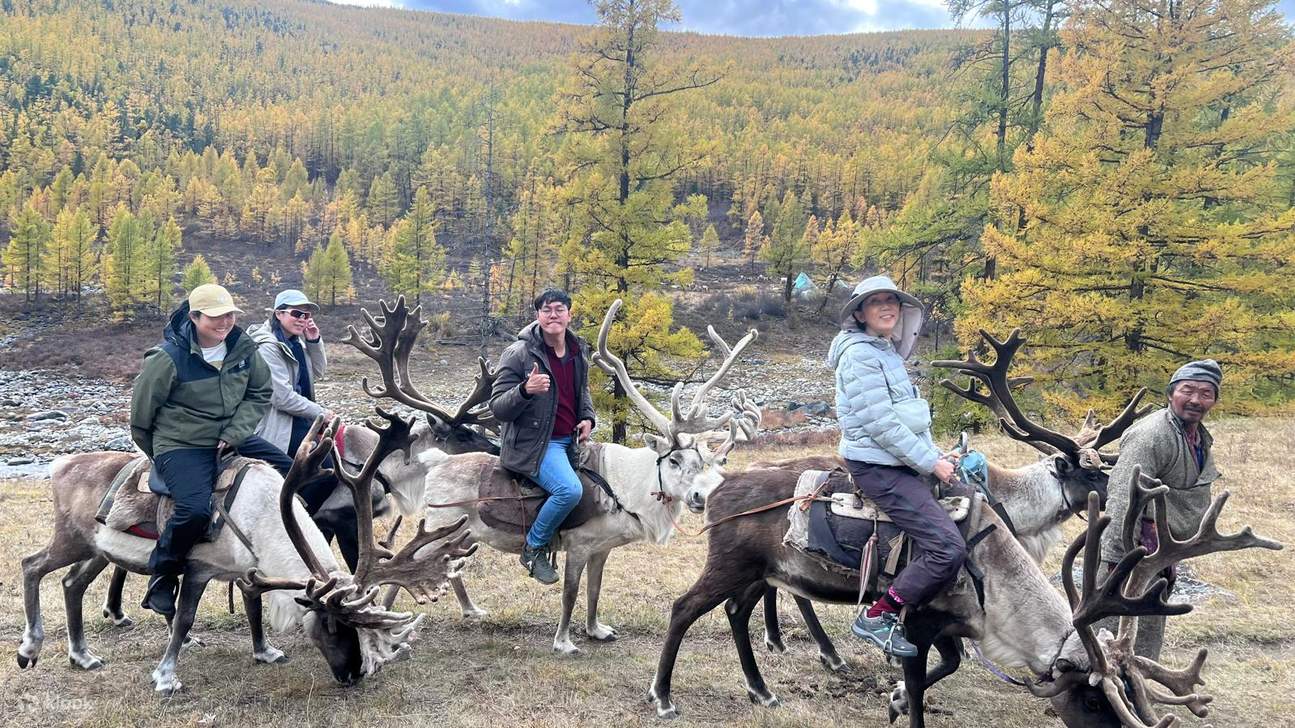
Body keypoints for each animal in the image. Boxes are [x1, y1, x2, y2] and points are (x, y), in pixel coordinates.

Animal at [17, 410, 474, 695]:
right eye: (329, 624)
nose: (352, 675)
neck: (263, 516)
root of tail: (60, 464)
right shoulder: (200, 568)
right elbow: (183, 620)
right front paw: (166, 676)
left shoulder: (248, 568)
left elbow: (254, 605)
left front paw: (264, 651)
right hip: (70, 538)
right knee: (32, 565)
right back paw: (29, 648)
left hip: (98, 550)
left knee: (72, 583)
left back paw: (81, 655)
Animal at [98, 297, 501, 628]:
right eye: (465, 434)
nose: (496, 450)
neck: (382, 466)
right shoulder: (342, 517)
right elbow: (350, 564)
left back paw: (116, 608)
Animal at [407, 298, 762, 654]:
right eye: (674, 460)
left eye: (703, 460)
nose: (702, 496)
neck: (625, 490)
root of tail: (437, 462)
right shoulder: (578, 546)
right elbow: (570, 594)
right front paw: (563, 642)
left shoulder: (602, 548)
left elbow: (594, 591)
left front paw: (596, 630)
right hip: (438, 529)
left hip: (464, 537)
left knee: (451, 569)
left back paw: (470, 610)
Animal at [647, 457, 1281, 727]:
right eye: (1095, 699)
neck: (996, 581)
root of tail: (718, 486)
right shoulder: (917, 623)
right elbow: (921, 684)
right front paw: (902, 703)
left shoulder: (951, 628)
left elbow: (945, 668)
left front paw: (892, 701)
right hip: (730, 565)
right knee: (683, 609)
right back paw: (664, 696)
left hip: (761, 574)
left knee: (736, 614)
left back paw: (761, 691)